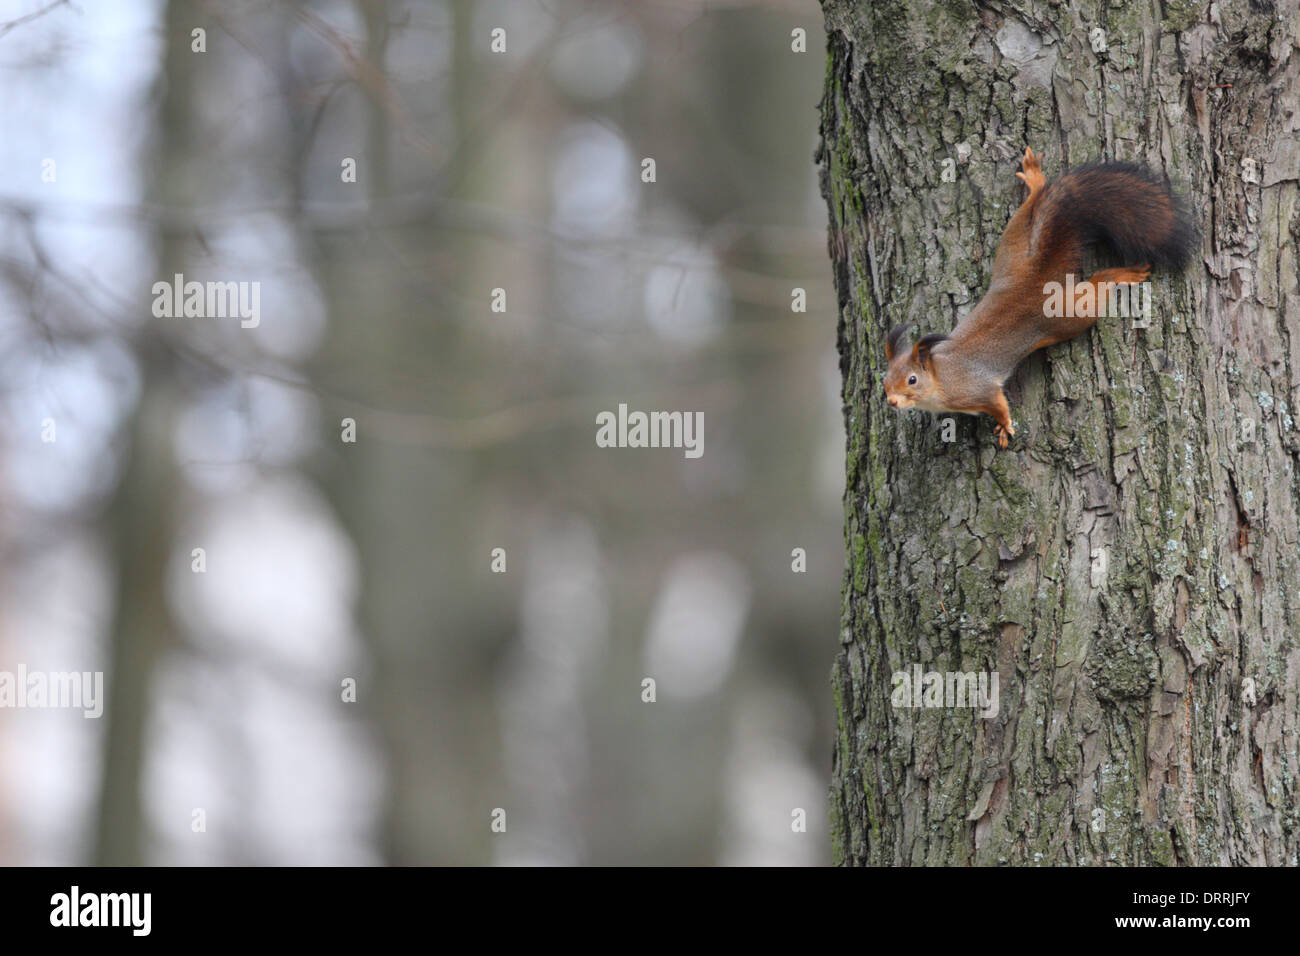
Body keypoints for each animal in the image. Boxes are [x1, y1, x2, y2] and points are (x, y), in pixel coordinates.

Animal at [883, 147, 1196, 448]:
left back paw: (1121, 275)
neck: (939, 377)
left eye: (912, 379)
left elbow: (999, 404)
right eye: (884, 379)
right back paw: (1036, 181)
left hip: (1068, 314)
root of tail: (1033, 279)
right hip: (1013, 248)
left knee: (1096, 288)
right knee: (1030, 211)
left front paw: (1005, 426)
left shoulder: (978, 389)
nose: (891, 401)